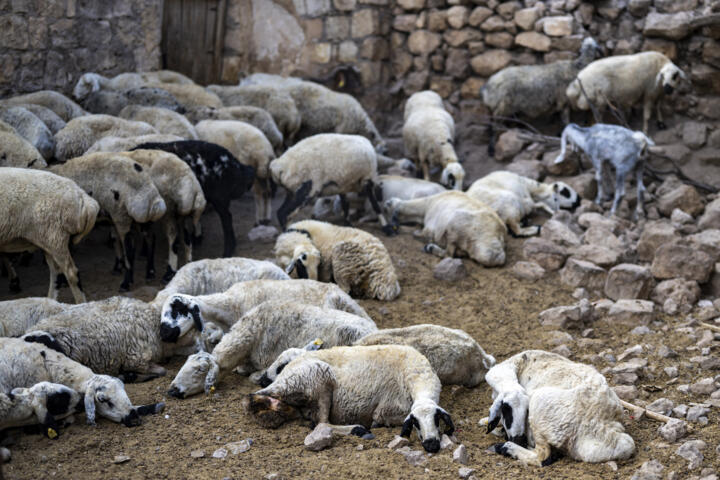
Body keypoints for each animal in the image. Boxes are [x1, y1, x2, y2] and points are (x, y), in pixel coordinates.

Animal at [0, 168, 99, 303]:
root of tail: (82, 196)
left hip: (55, 235)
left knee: (71, 273)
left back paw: (79, 302)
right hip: (49, 239)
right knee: (56, 272)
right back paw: (50, 301)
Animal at [49, 153, 167, 291]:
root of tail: (152, 197)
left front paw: (62, 281)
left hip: (121, 216)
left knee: (130, 250)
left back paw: (126, 283)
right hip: (141, 218)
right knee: (150, 239)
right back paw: (150, 273)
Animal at [113, 149, 207, 281]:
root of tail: (191, 184)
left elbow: (117, 237)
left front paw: (119, 265)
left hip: (169, 210)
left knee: (173, 239)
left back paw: (169, 272)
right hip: (183, 215)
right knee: (187, 239)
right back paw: (187, 264)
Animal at [247, 345, 454, 453]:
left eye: (437, 418)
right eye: (416, 423)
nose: (431, 445)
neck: (415, 375)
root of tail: (279, 381)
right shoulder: (387, 410)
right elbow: (381, 418)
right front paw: (374, 425)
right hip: (319, 378)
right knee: (320, 424)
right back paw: (358, 429)